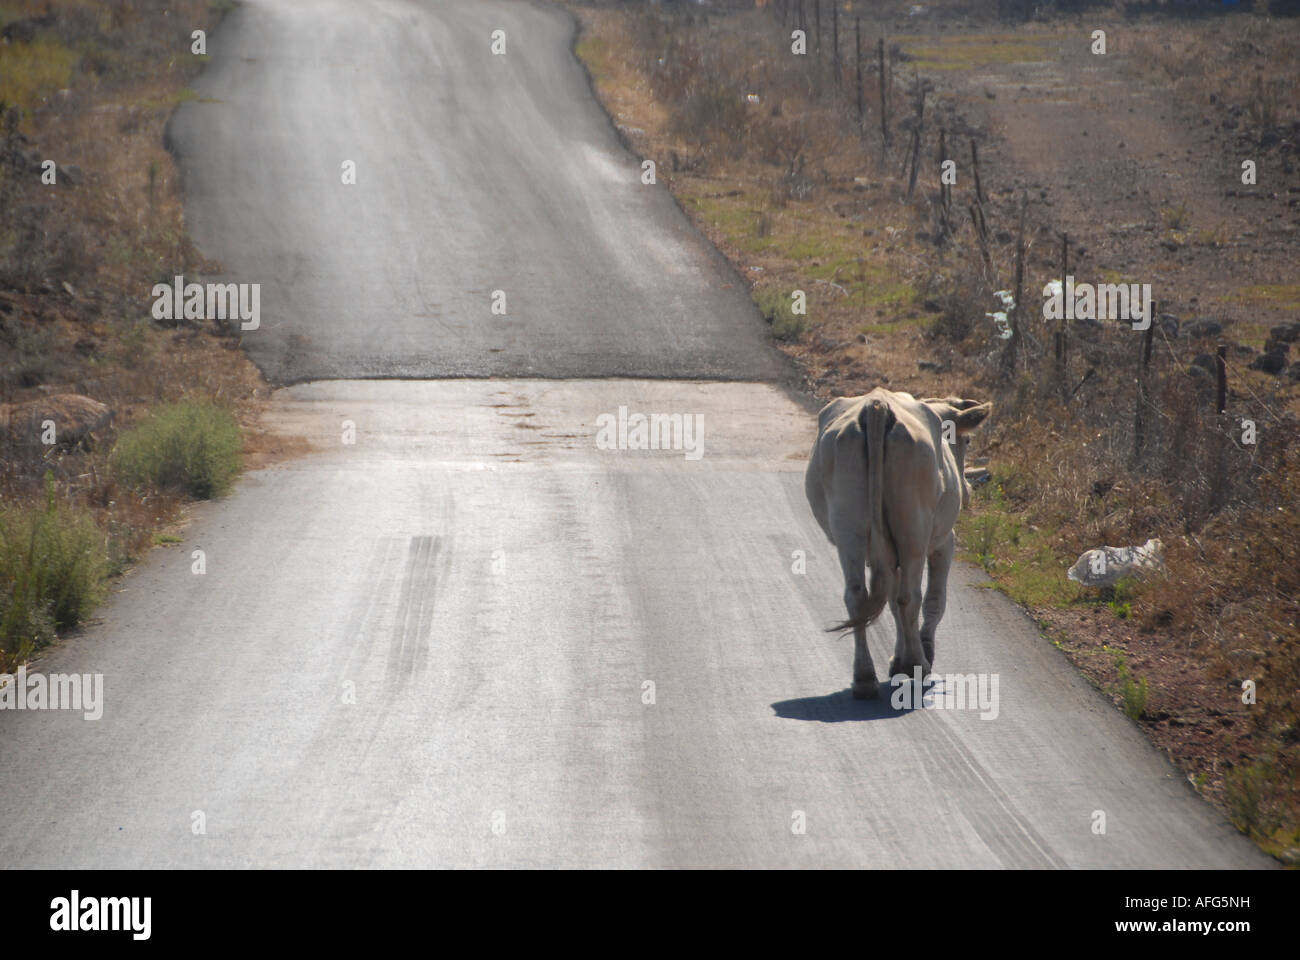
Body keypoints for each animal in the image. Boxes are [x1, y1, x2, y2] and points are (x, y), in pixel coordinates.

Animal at [805, 388, 992, 699]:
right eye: (967, 440)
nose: (967, 490)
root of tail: (876, 405)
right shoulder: (944, 542)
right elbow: (933, 601)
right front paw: (919, 652)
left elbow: (890, 602)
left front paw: (898, 658)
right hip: (913, 528)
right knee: (910, 597)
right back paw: (917, 664)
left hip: (848, 528)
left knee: (857, 596)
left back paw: (864, 677)